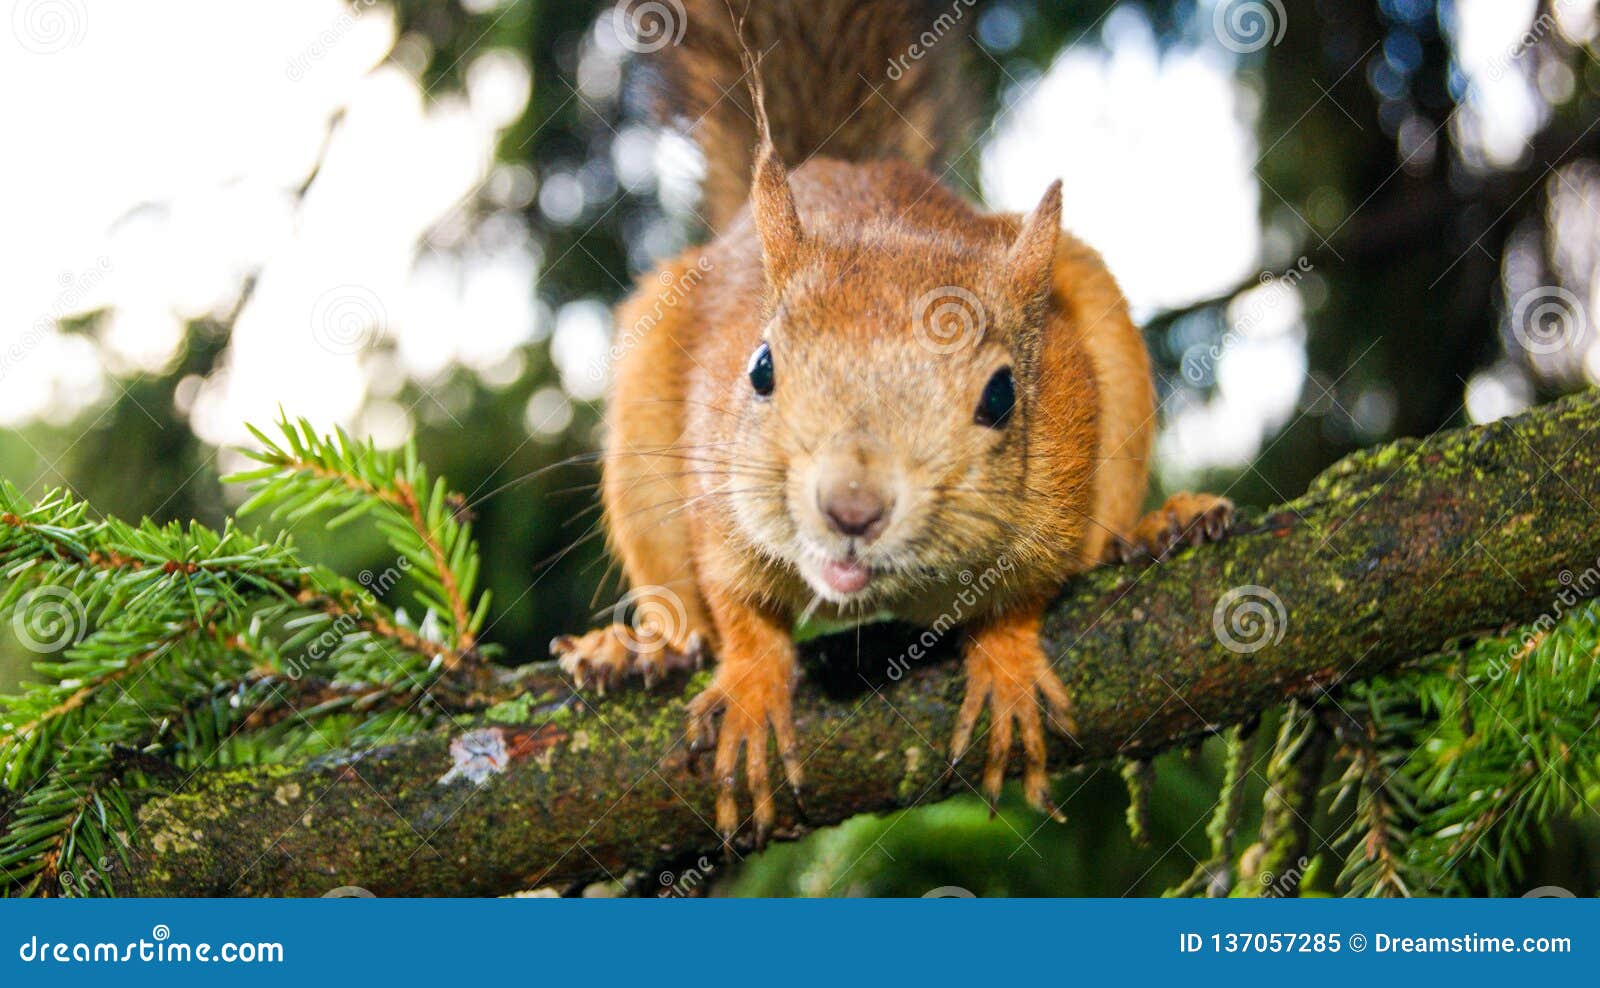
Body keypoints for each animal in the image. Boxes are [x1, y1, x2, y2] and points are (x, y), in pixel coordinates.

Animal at [552, 0, 1233, 844]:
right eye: (760, 367)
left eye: (1001, 396)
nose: (851, 508)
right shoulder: (719, 484)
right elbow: (737, 601)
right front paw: (751, 688)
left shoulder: (1061, 472)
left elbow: (1025, 593)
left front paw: (1006, 667)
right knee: (678, 596)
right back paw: (643, 647)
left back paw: (1156, 529)